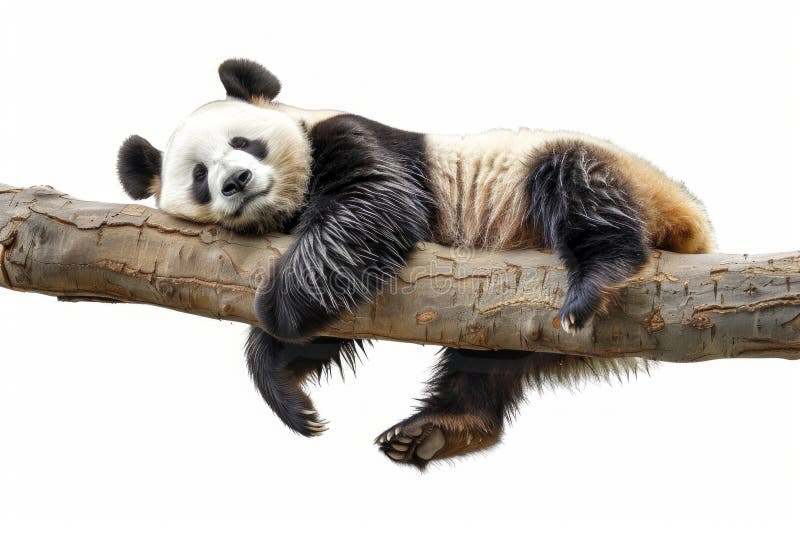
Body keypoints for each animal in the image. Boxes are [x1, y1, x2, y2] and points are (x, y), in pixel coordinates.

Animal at [117, 58, 713, 469]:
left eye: (246, 142)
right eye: (199, 175)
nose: (237, 181)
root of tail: (694, 230)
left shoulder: (350, 138)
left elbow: (374, 208)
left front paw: (273, 311)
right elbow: (332, 312)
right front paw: (287, 389)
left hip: (617, 183)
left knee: (576, 180)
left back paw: (598, 277)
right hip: (509, 322)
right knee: (483, 365)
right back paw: (440, 429)